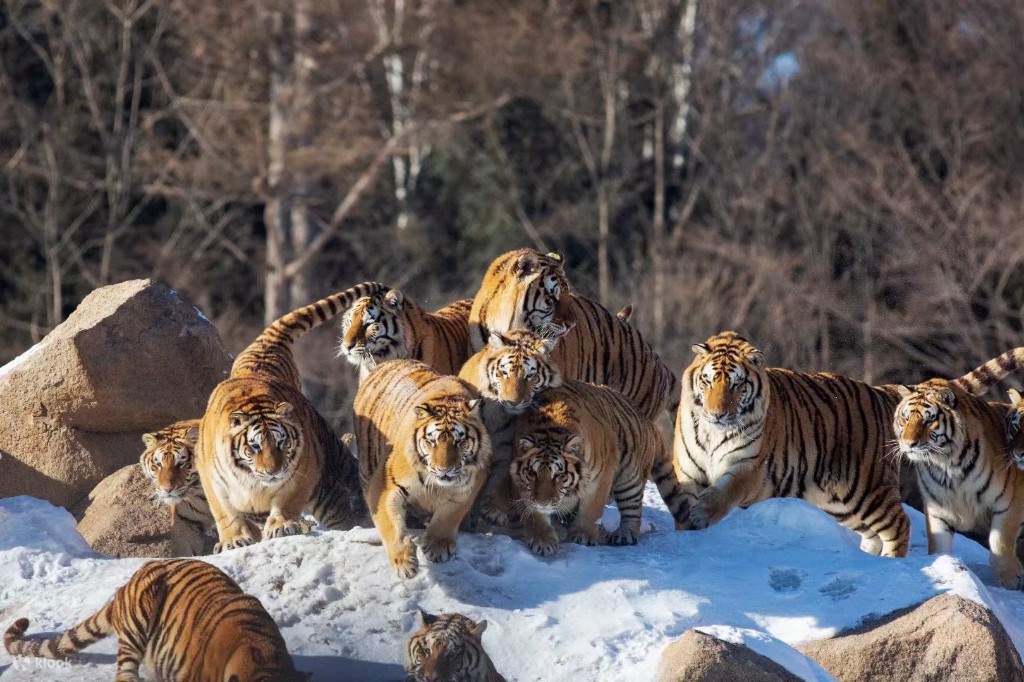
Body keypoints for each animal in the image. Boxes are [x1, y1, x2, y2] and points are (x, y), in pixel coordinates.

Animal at [199, 284, 377, 552]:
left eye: (281, 443)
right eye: (254, 446)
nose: (274, 471)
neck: (252, 481)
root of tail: (266, 345)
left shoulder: (304, 467)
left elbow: (287, 501)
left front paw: (280, 526)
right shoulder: (212, 478)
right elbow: (226, 513)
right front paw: (235, 539)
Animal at [353, 359, 491, 578]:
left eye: (459, 441)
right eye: (431, 441)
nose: (444, 469)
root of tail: (385, 363)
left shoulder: (468, 488)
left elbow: (448, 517)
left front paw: (437, 547)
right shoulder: (384, 485)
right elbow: (391, 524)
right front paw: (404, 563)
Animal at [511, 378, 691, 556]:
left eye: (559, 475)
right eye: (532, 473)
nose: (544, 503)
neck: (550, 427)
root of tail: (648, 422)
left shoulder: (601, 476)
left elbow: (591, 509)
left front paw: (583, 535)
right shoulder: (522, 483)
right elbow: (535, 514)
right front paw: (543, 541)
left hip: (630, 478)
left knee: (632, 510)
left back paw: (624, 535)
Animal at [675, 332, 1024, 558]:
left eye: (737, 384)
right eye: (708, 380)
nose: (717, 414)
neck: (713, 434)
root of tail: (878, 390)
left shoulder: (747, 467)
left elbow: (723, 493)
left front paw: (702, 514)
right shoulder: (687, 471)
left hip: (865, 491)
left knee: (899, 525)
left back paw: (889, 564)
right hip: (840, 500)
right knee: (874, 532)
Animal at [894, 379, 1024, 588]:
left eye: (928, 420)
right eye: (905, 419)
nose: (908, 444)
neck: (948, 466)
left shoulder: (1009, 503)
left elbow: (1000, 542)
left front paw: (1010, 578)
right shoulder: (938, 509)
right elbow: (939, 546)